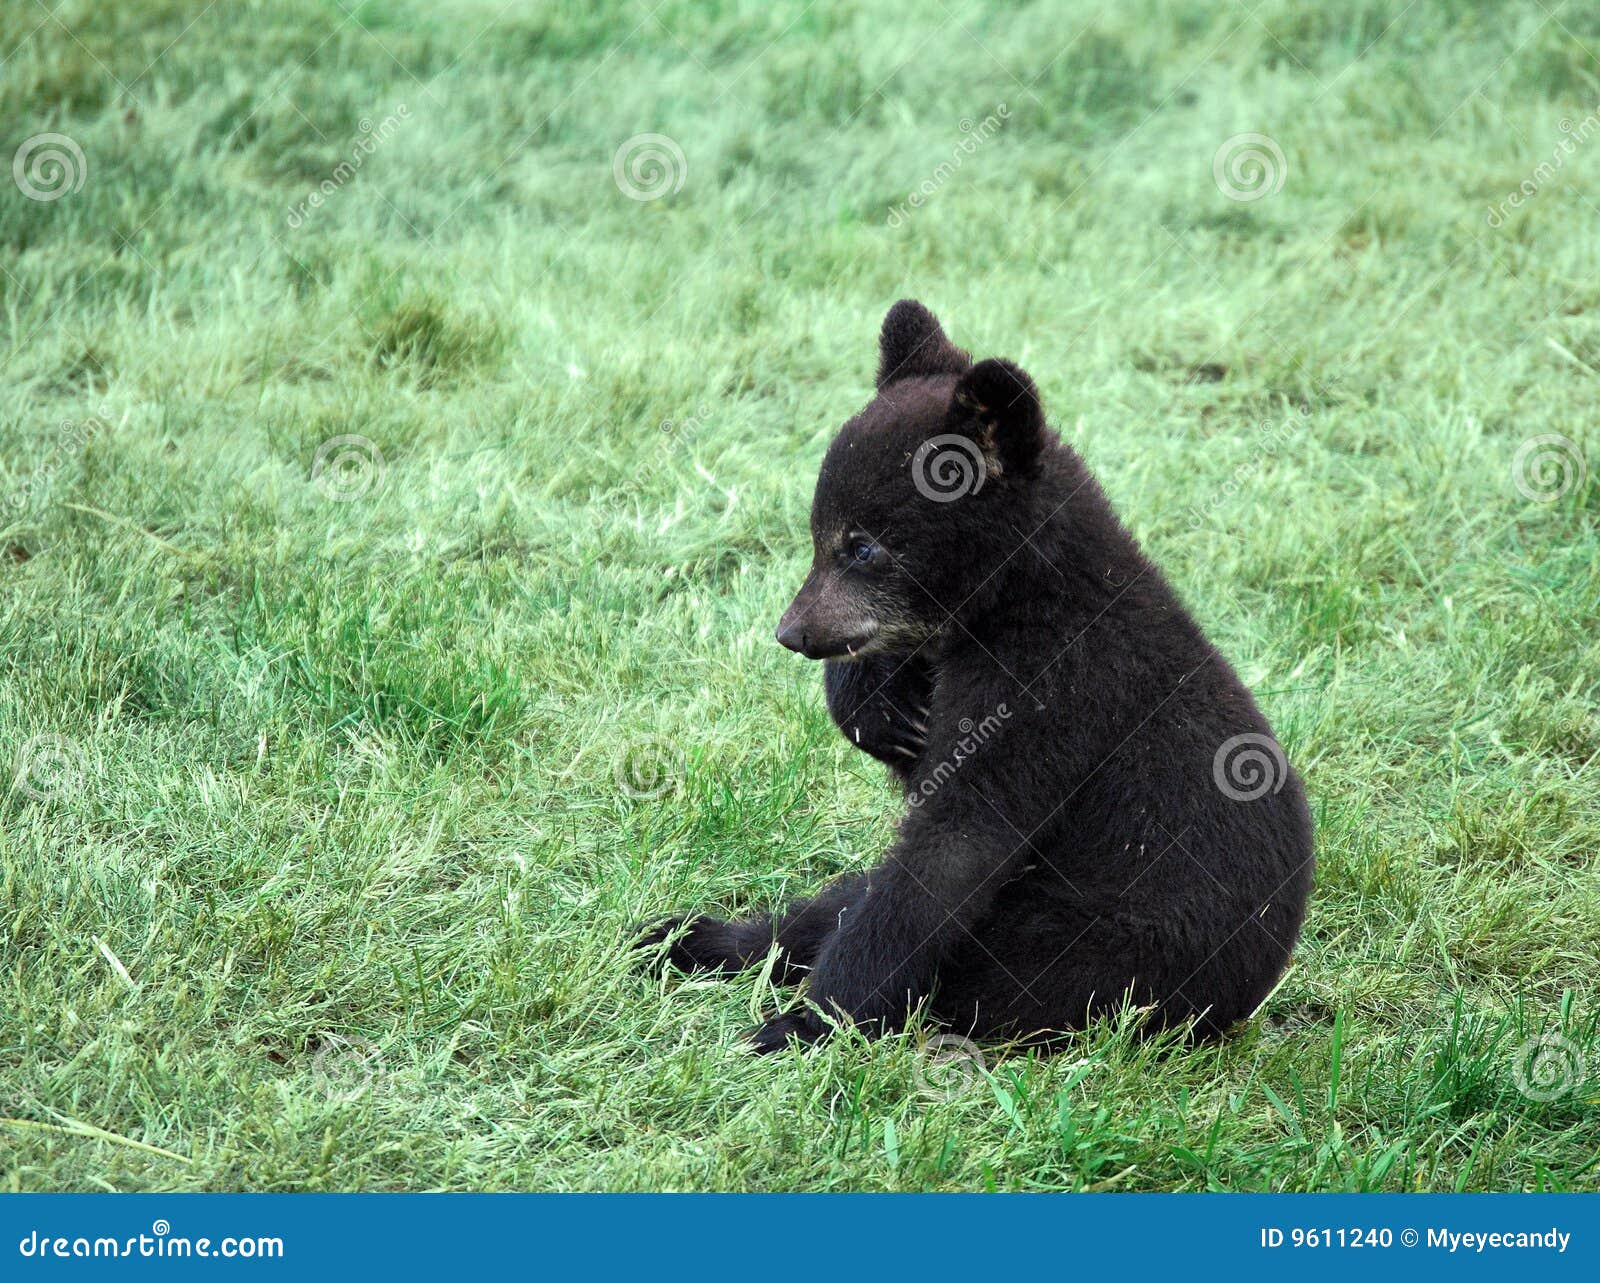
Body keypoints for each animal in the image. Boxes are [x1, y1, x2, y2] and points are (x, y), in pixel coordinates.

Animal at [637, 300, 1314, 1053]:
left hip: (1095, 956)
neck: (1025, 598)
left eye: (862, 546)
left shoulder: (1049, 697)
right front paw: (880, 710)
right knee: (840, 898)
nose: (792, 632)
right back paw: (685, 938)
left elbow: (952, 851)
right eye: (819, 535)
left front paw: (804, 1023)